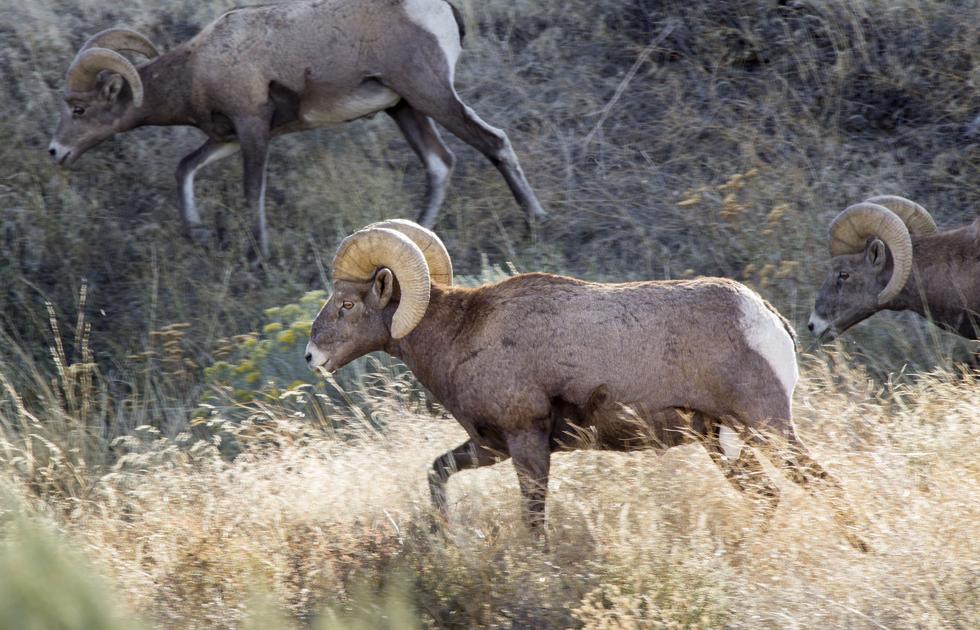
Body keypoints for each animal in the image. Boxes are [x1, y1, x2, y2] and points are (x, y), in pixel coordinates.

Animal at [48, 1, 545, 258]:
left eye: (79, 109)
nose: (55, 153)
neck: (198, 68)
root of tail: (441, 11)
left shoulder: (252, 130)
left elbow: (252, 193)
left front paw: (261, 258)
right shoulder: (226, 137)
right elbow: (184, 168)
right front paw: (199, 234)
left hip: (430, 96)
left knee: (493, 143)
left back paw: (535, 224)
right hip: (405, 109)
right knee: (439, 164)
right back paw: (411, 241)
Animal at [304, 219, 871, 551]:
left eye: (347, 304)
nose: (312, 357)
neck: (463, 335)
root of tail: (769, 321)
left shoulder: (528, 443)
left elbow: (534, 523)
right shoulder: (489, 446)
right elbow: (437, 474)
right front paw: (444, 537)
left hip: (770, 430)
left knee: (827, 487)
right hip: (726, 443)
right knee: (768, 498)